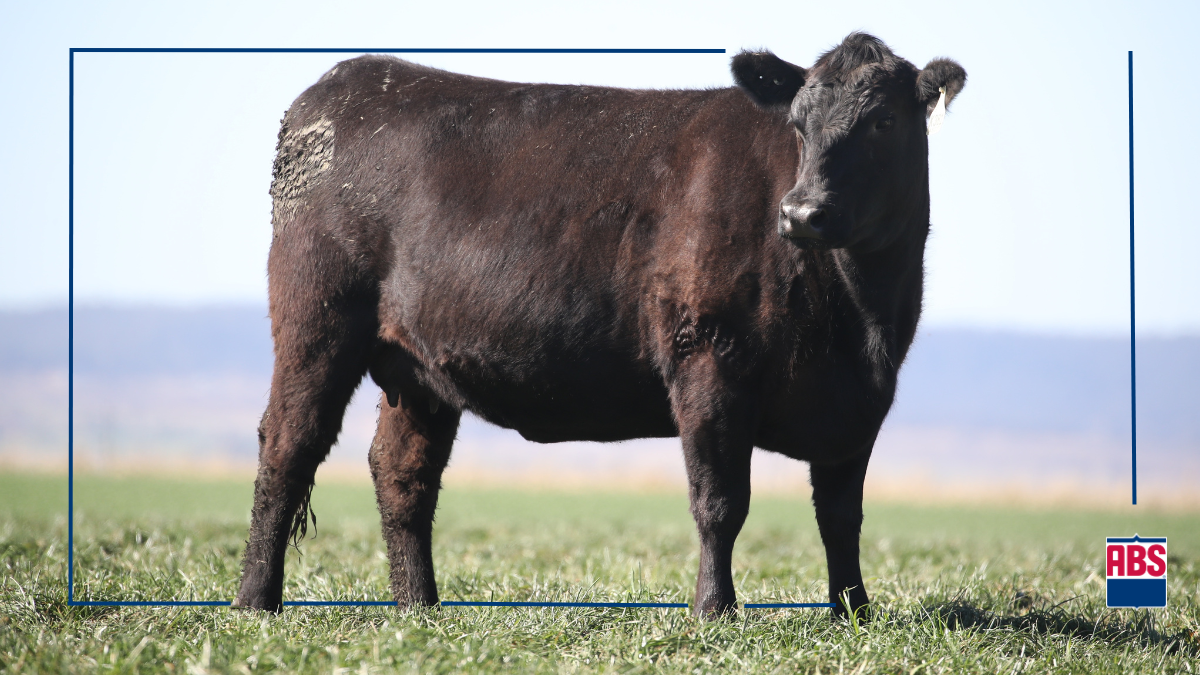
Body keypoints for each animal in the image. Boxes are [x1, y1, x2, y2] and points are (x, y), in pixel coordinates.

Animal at [233, 32, 966, 618]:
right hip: (317, 323)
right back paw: (255, 601)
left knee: (402, 473)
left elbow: (841, 515)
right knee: (288, 446)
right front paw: (715, 610)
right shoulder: (708, 362)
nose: (802, 212)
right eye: (799, 122)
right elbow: (721, 502)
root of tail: (344, 81)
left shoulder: (861, 401)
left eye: (883, 120)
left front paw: (854, 611)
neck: (860, 316)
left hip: (415, 367)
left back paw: (420, 606)